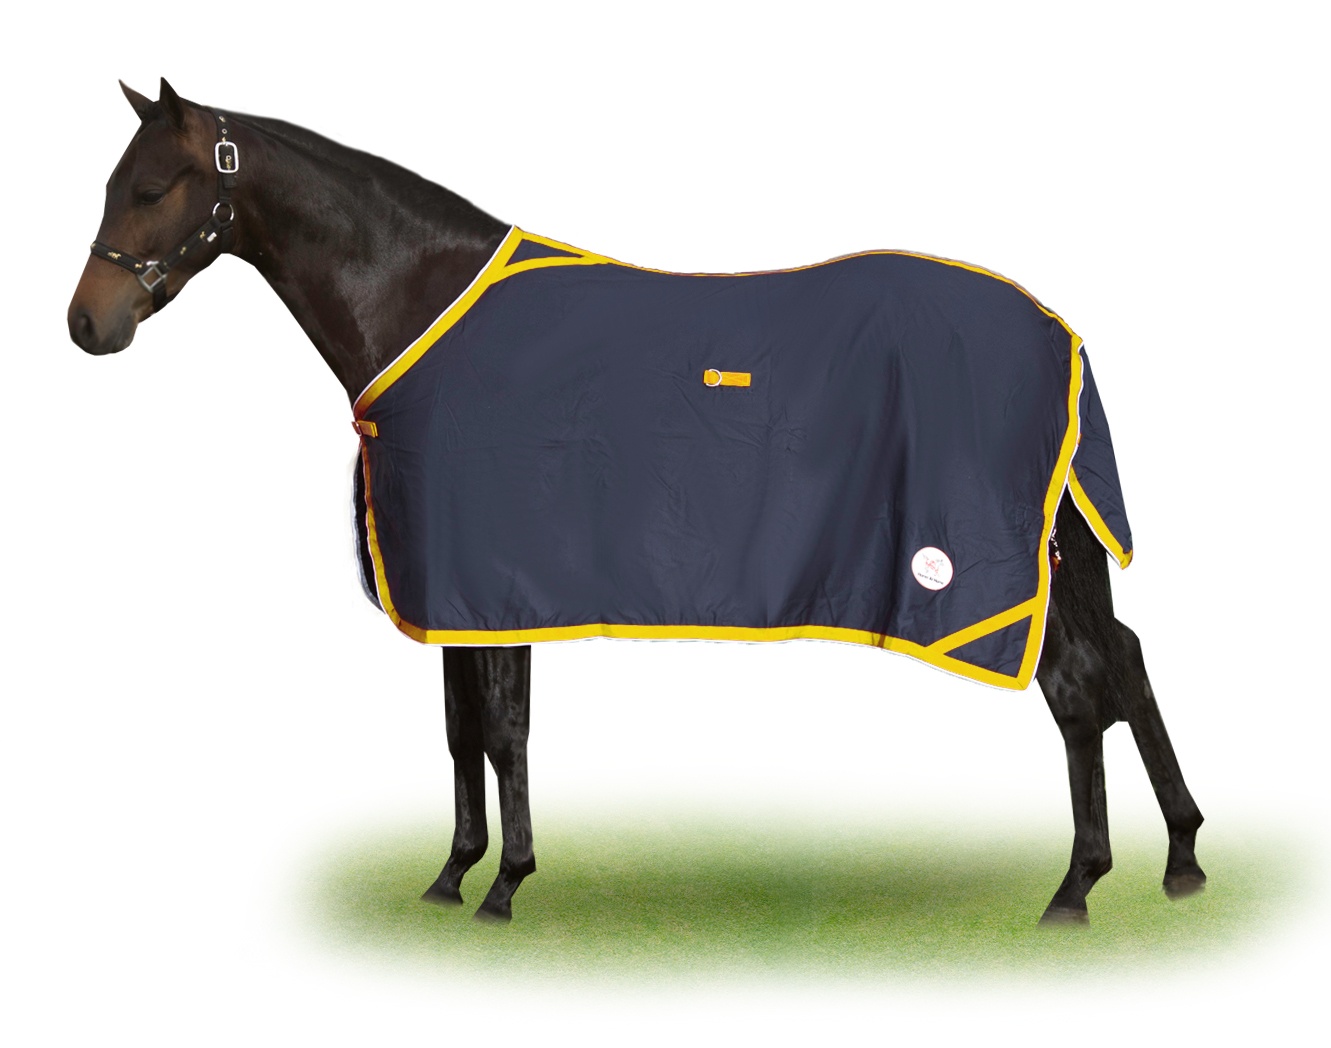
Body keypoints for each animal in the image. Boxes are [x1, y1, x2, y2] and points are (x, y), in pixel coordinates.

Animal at [66, 79, 1206, 926]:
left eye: (155, 186)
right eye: (114, 183)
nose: (88, 324)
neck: (421, 304)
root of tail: (1055, 329)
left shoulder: (491, 578)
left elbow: (503, 729)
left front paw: (505, 886)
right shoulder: (452, 586)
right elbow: (462, 731)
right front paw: (453, 874)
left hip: (1000, 558)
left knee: (1081, 683)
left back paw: (1085, 884)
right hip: (1057, 550)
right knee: (1111, 666)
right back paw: (1162, 862)